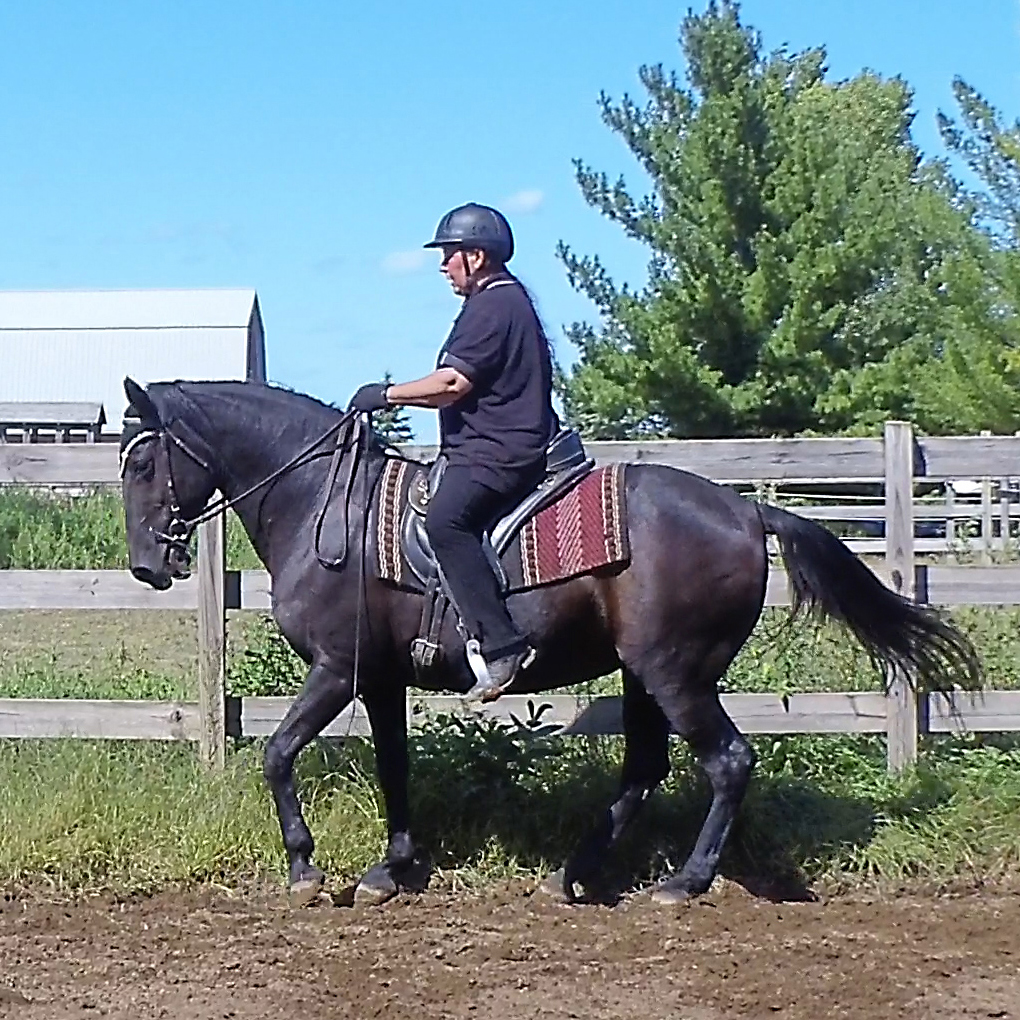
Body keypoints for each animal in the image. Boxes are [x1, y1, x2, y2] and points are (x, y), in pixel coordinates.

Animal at [119, 377, 981, 906]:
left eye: (143, 460)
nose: (148, 564)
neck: (328, 507)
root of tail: (746, 510)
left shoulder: (336, 671)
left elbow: (276, 754)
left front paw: (304, 868)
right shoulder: (380, 678)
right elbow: (395, 767)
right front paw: (391, 869)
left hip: (678, 674)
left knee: (727, 762)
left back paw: (684, 884)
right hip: (644, 674)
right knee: (646, 769)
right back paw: (575, 873)